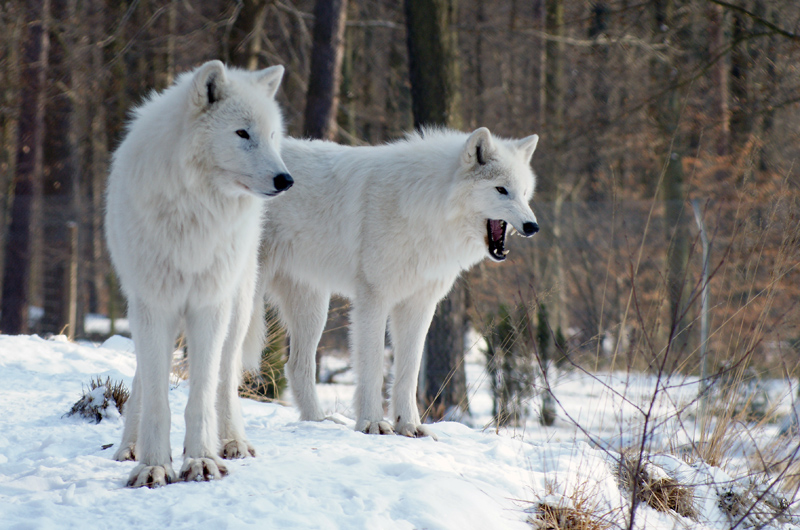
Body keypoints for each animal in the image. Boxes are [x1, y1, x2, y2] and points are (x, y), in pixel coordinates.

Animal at [105, 60, 292, 487]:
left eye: (272, 135)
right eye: (243, 133)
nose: (286, 180)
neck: (197, 209)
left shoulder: (209, 304)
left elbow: (203, 394)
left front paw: (202, 459)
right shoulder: (153, 305)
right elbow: (156, 397)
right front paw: (154, 465)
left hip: (237, 308)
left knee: (225, 379)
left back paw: (234, 441)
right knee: (141, 379)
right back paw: (129, 446)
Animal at [244, 127, 540, 438]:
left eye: (524, 192)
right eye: (501, 190)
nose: (533, 227)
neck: (426, 207)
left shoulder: (419, 305)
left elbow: (408, 372)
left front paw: (409, 425)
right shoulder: (373, 299)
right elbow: (373, 366)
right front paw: (372, 423)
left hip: (313, 309)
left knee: (296, 365)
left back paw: (318, 422)